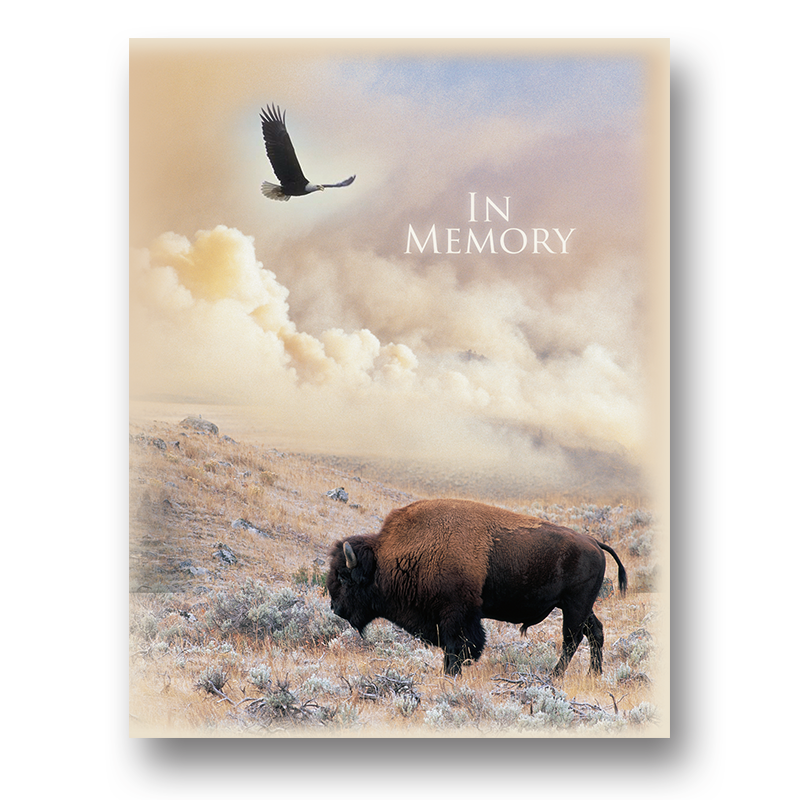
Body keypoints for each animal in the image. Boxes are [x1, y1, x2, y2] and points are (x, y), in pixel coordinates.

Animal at [327, 498, 627, 677]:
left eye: (344, 576)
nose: (336, 608)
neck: (392, 556)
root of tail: (593, 542)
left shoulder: (456, 614)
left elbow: (459, 647)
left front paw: (452, 673)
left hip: (575, 605)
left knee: (571, 639)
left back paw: (555, 676)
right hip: (578, 606)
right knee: (595, 632)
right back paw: (594, 674)